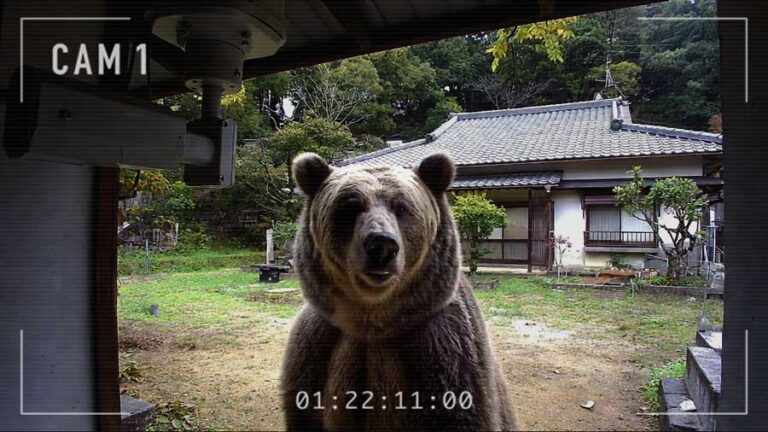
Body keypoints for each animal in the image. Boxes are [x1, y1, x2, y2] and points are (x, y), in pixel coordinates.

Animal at [281, 152, 518, 432]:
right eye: (350, 207)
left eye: (402, 207)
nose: (381, 245)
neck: (373, 318)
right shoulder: (317, 347)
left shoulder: (446, 350)